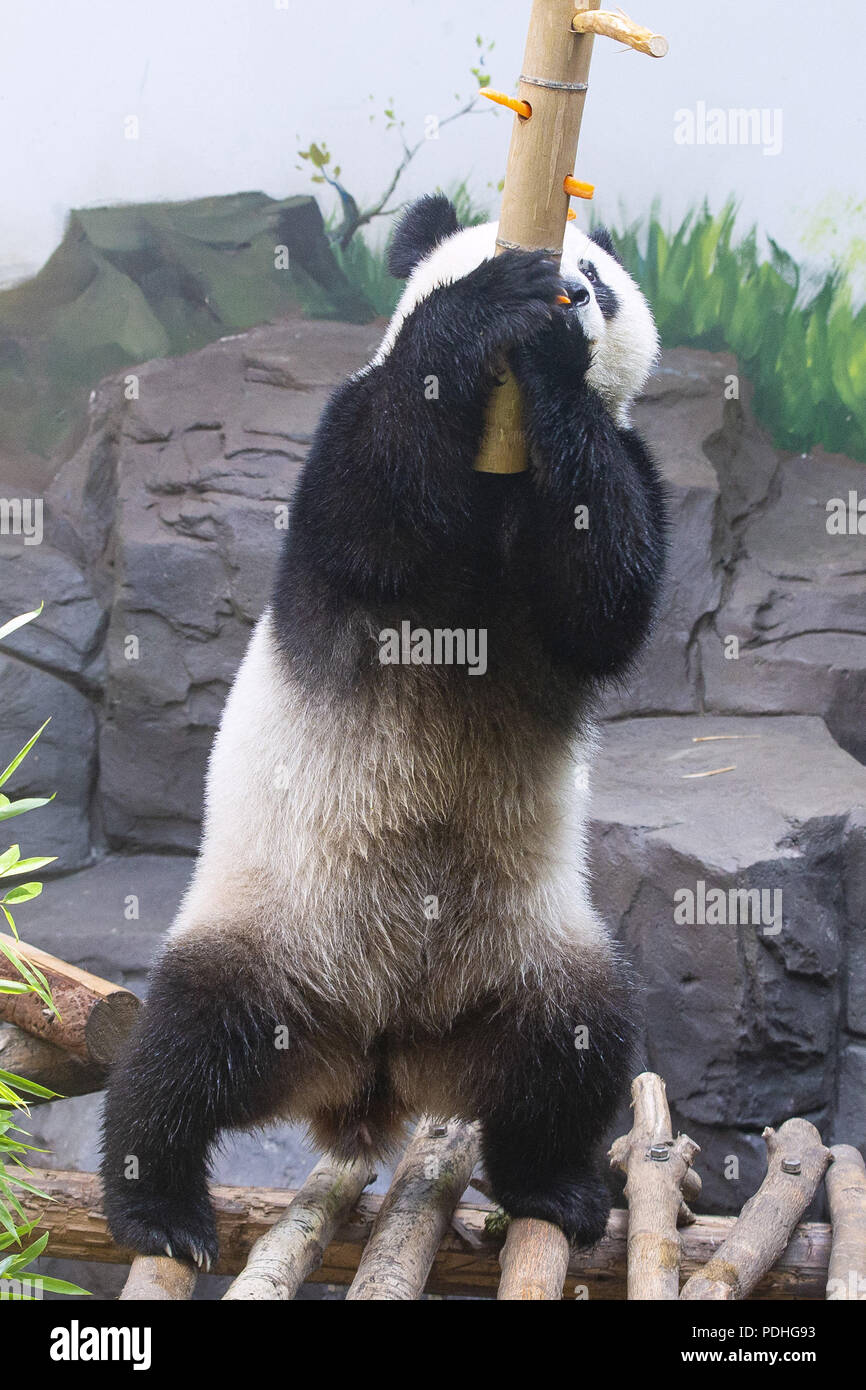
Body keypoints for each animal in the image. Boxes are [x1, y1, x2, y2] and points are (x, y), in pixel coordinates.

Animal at [101, 193, 666, 1271]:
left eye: (602, 279)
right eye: (548, 262)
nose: (571, 297)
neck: (505, 466)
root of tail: (376, 1063)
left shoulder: (623, 476)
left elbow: (602, 593)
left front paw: (555, 368)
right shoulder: (349, 460)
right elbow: (376, 491)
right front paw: (492, 309)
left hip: (531, 951)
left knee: (579, 1041)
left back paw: (554, 1187)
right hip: (268, 927)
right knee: (179, 1051)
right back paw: (157, 1206)